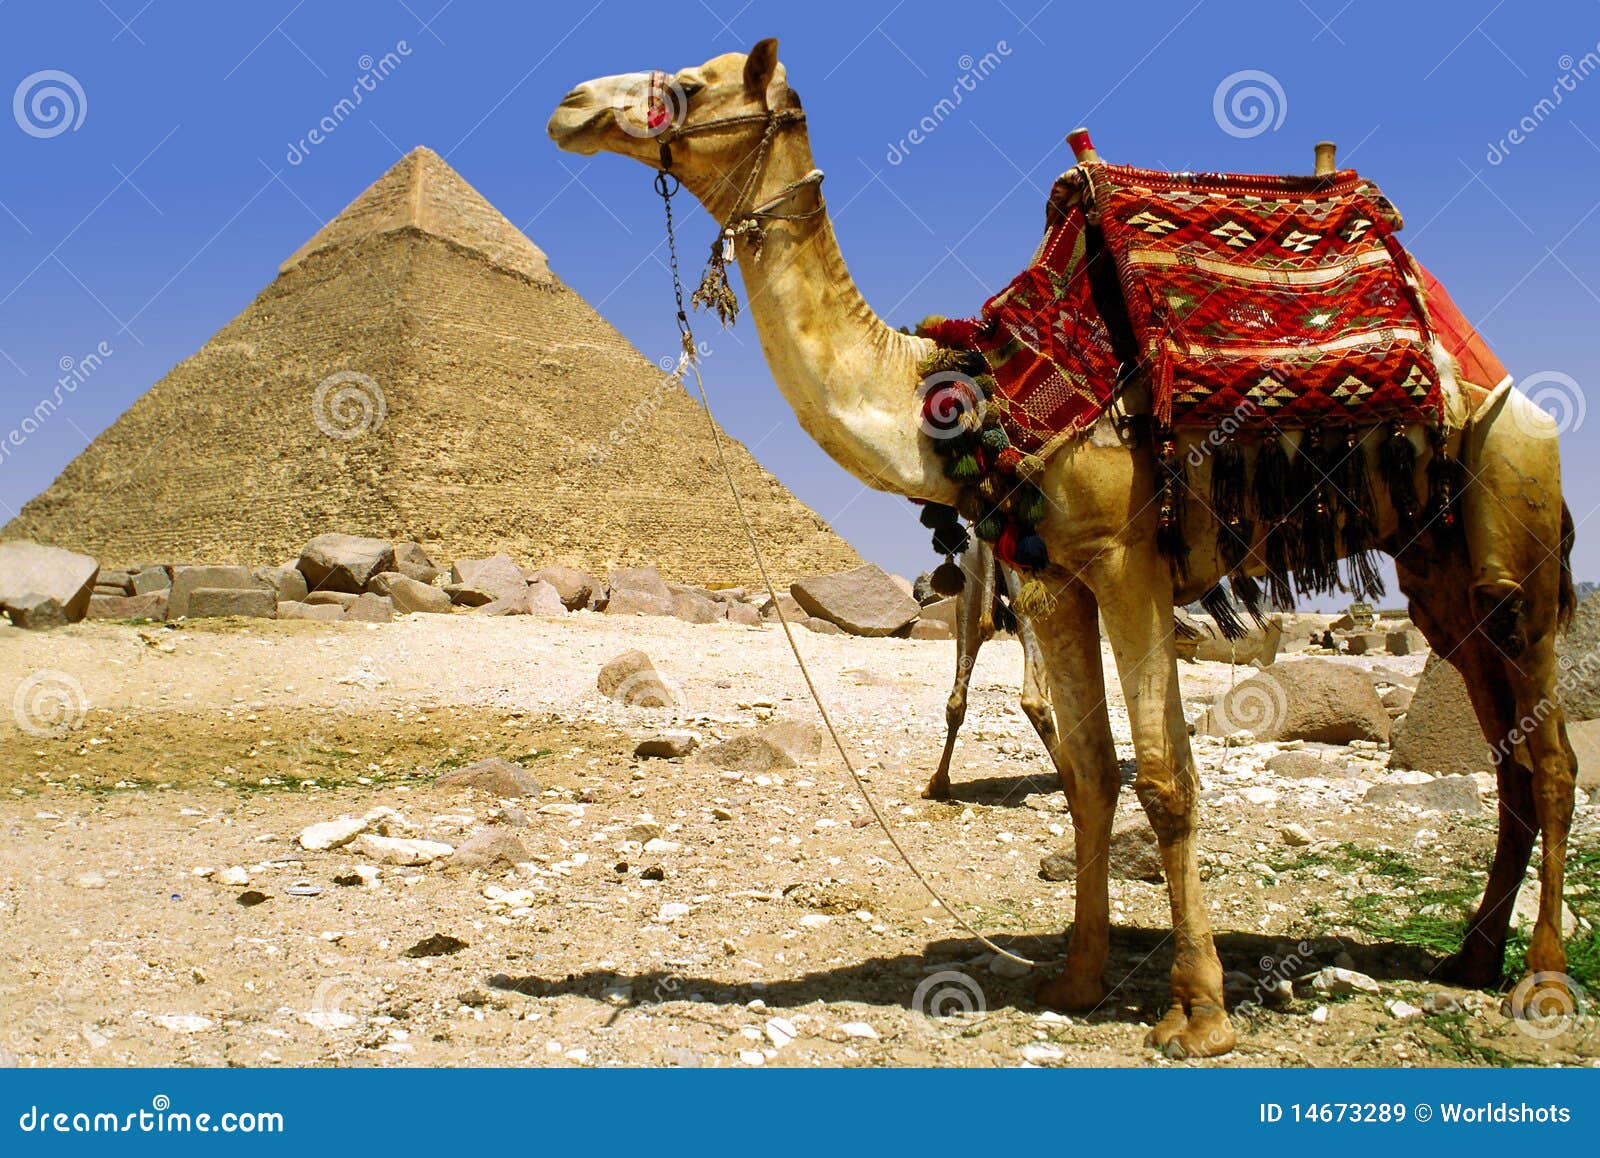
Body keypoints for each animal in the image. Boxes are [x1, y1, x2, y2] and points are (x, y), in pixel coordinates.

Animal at [549, 40, 1578, 1058]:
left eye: (689, 85)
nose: (570, 104)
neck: (975, 400)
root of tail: (1498, 380)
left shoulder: (1128, 566)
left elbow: (1165, 779)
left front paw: (1198, 1014)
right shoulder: (1051, 581)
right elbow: (1088, 776)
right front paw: (1078, 980)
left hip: (1512, 533)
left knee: (1552, 758)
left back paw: (1542, 985)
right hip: (1435, 571)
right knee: (1506, 752)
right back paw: (1470, 958)